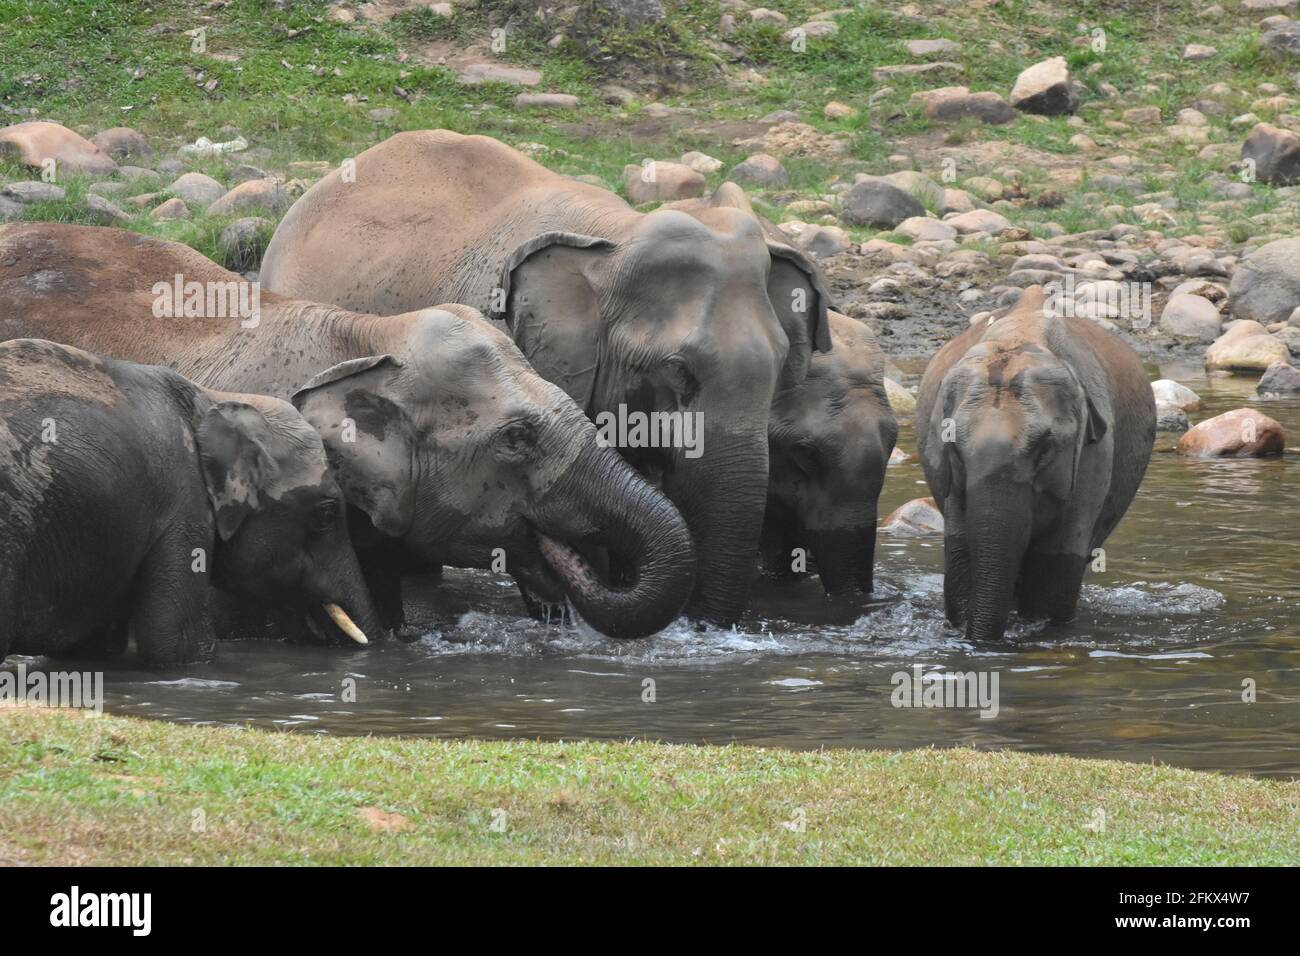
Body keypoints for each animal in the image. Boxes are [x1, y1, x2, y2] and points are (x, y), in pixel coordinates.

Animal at [915, 285, 1156, 642]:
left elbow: (1054, 571)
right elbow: (961, 554)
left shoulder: (1096, 454)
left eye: (1045, 447)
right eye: (955, 450)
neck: (1020, 337)